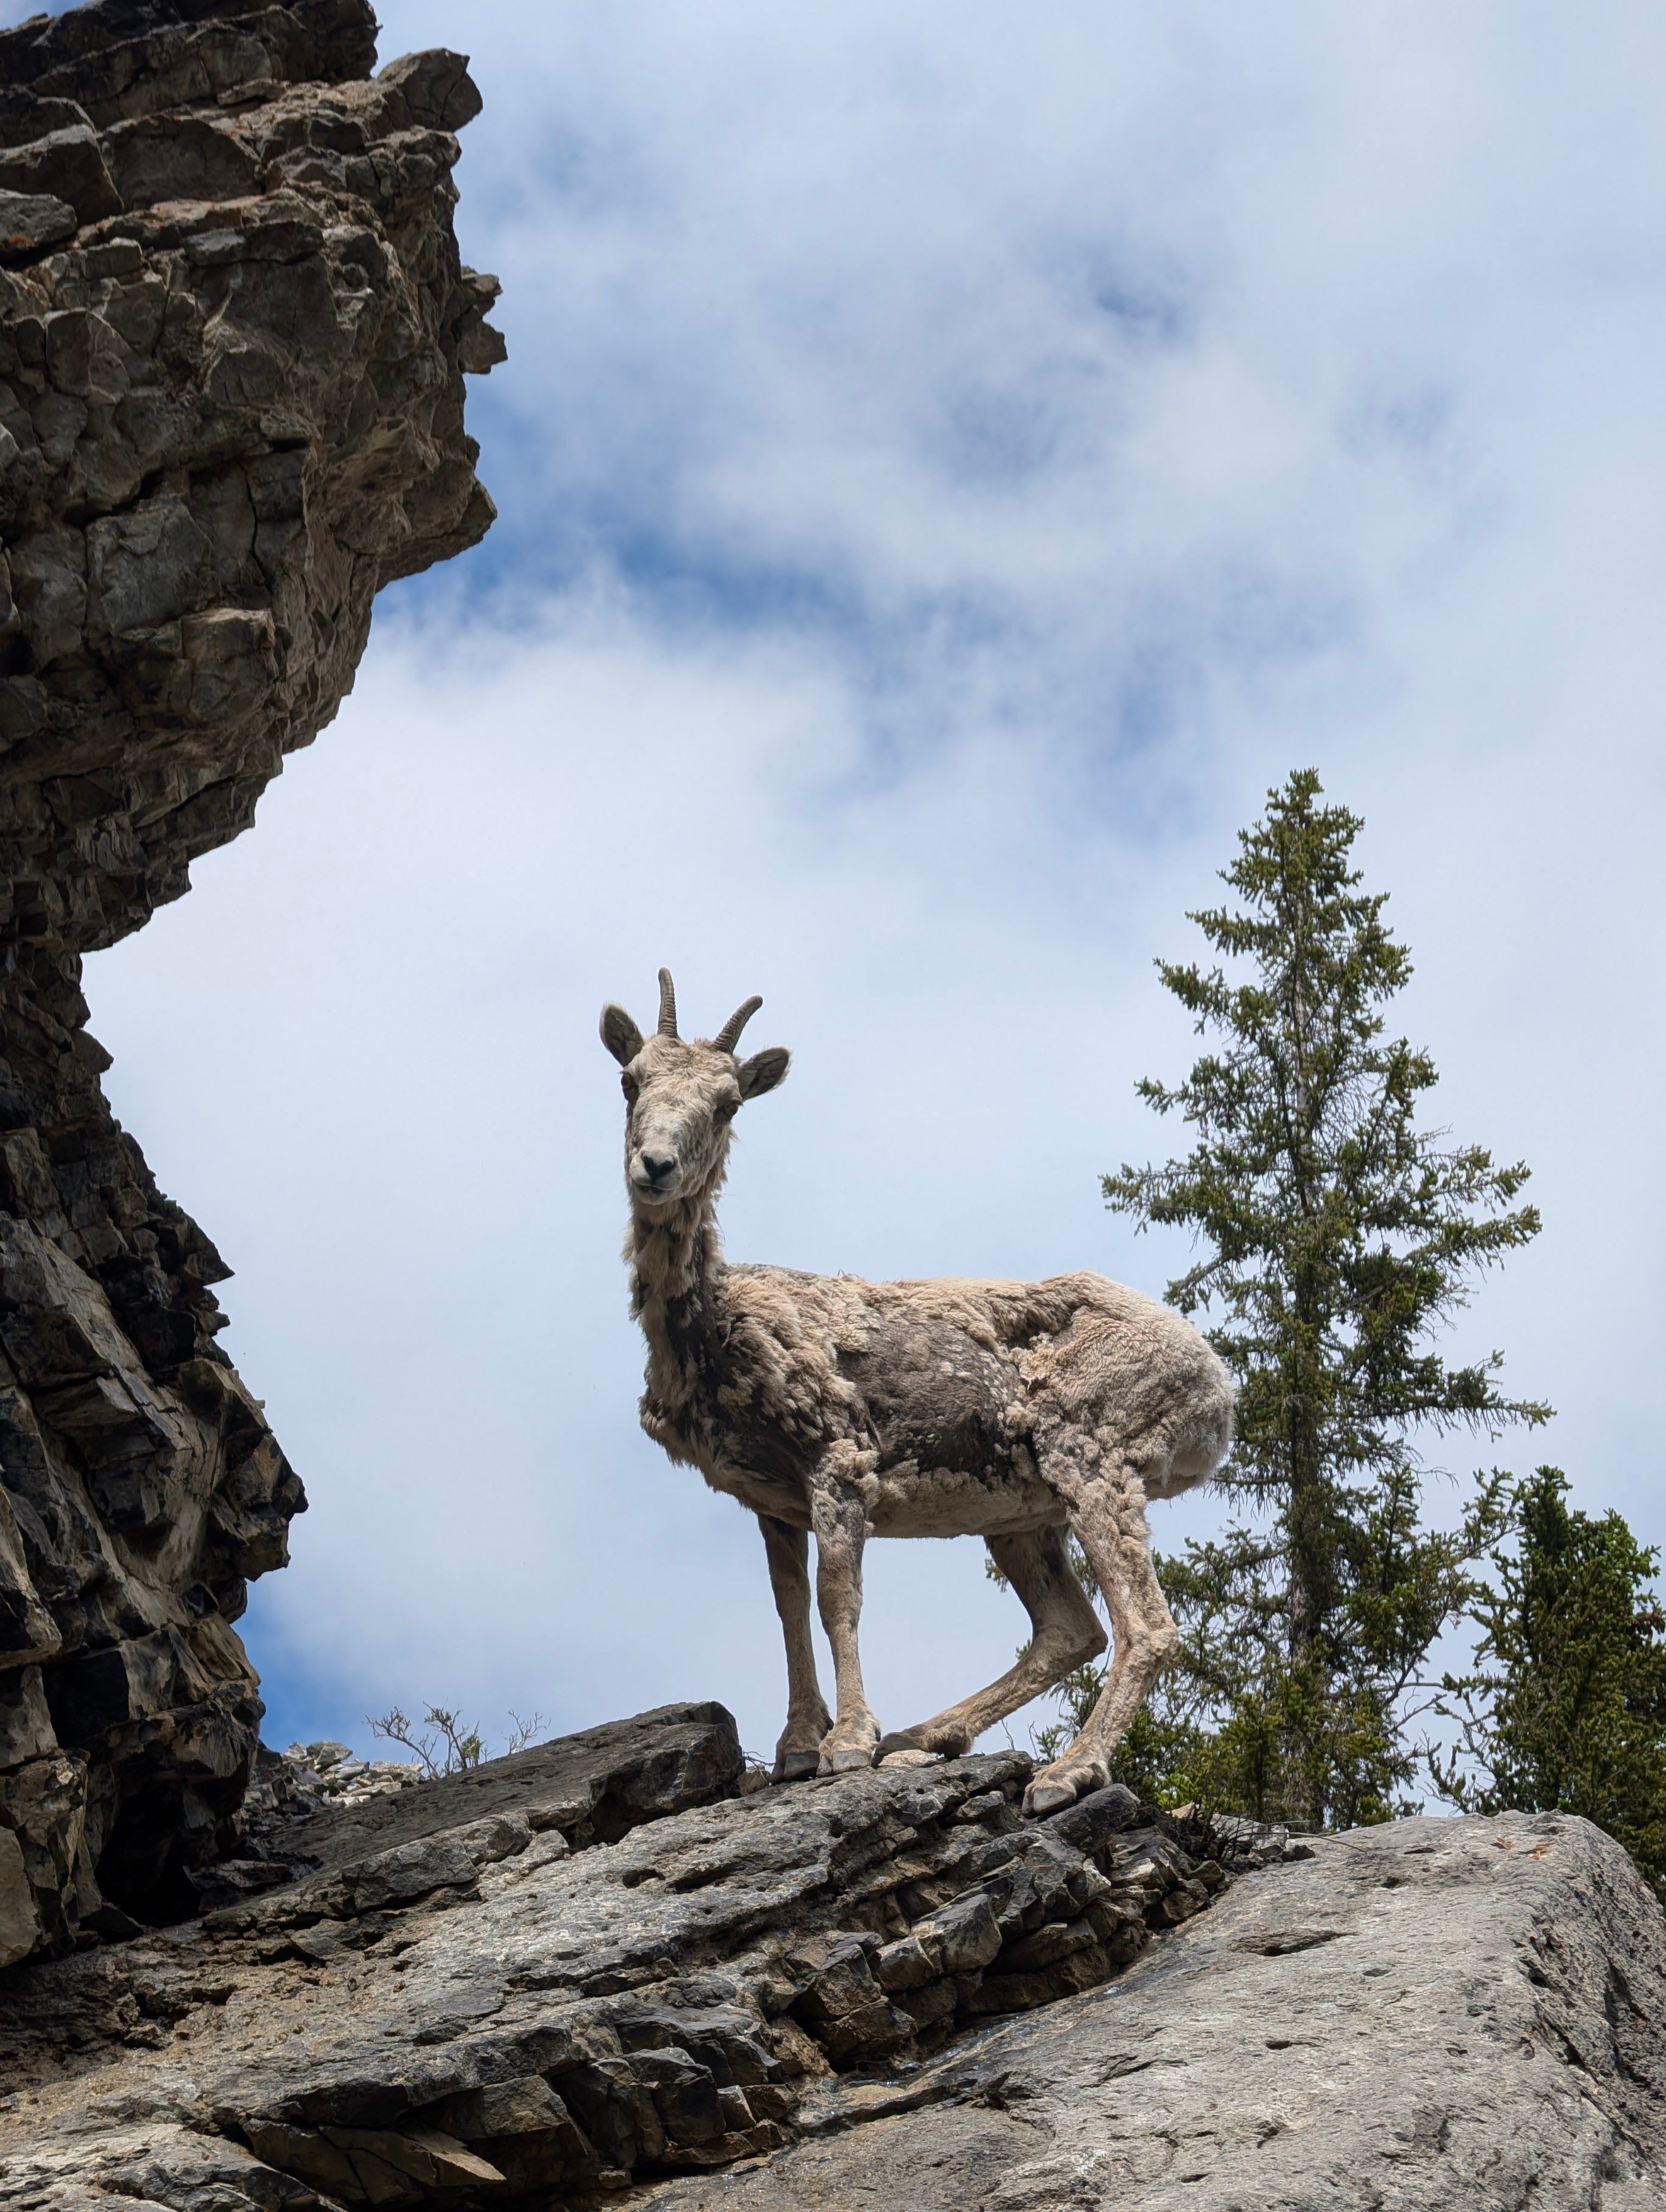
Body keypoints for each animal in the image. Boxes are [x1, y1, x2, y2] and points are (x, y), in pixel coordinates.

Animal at [600, 970, 1235, 1815]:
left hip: (1093, 1453)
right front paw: (797, 1745)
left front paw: (847, 1742)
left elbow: (838, 1594)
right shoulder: (769, 1495)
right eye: (630, 1080)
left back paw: (1065, 1772)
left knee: (1146, 1626)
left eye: (730, 1103)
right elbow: (787, 1605)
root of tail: (1219, 1395)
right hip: (1020, 1510)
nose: (657, 1165)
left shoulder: (838, 1455)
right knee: (1071, 1629)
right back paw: (927, 1736)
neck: (715, 1332)